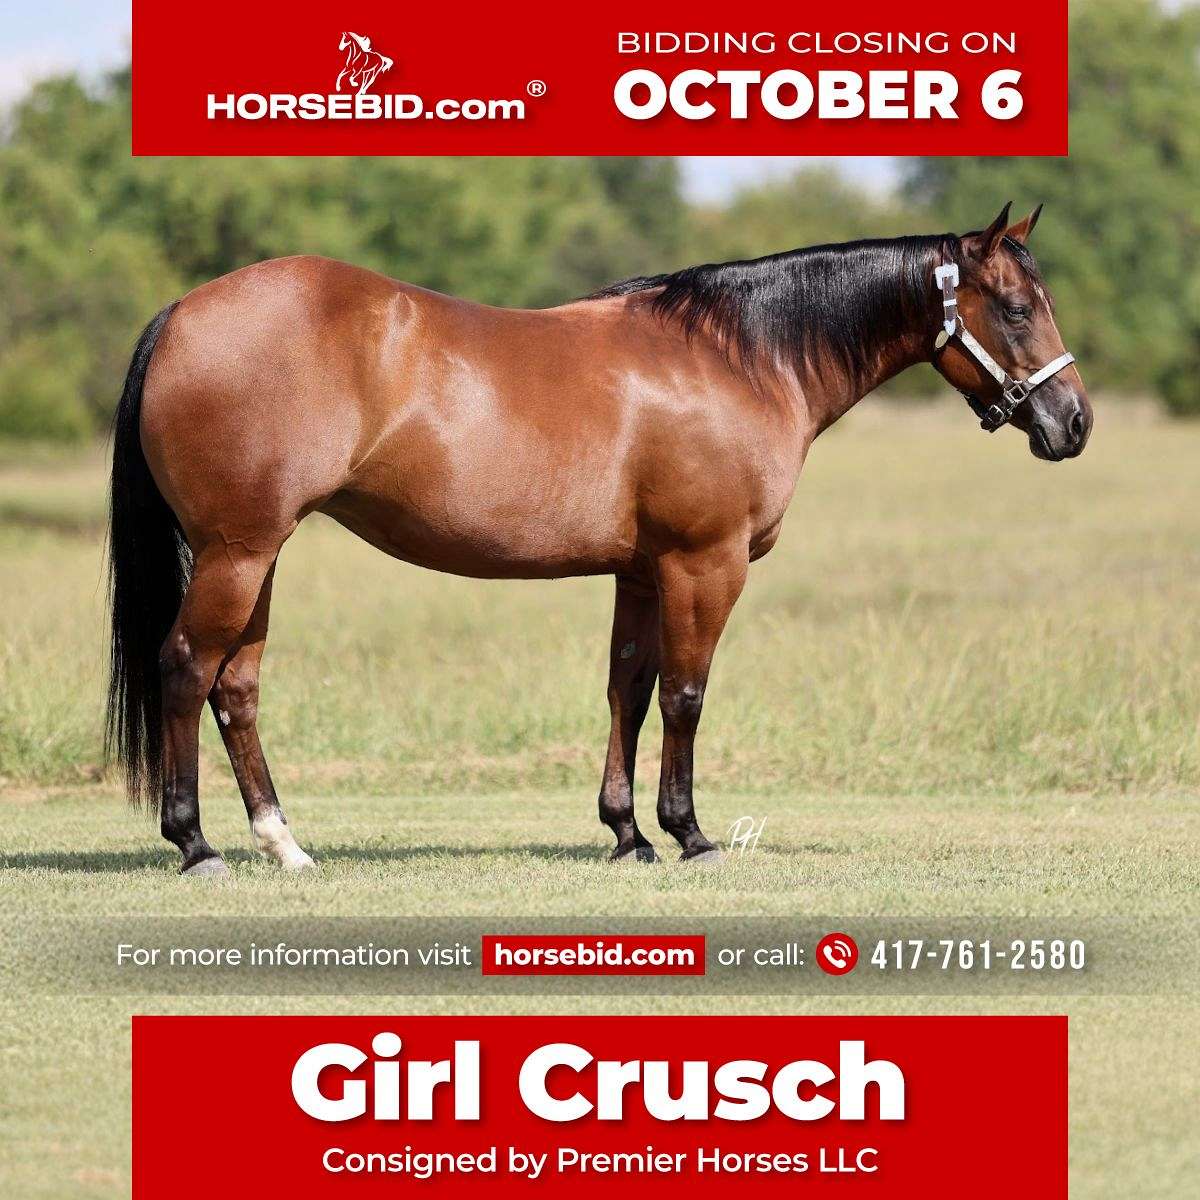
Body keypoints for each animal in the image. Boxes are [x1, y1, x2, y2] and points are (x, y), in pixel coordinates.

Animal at [106, 203, 1091, 876]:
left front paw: (627, 833)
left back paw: (285, 844)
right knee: (187, 667)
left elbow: (629, 689)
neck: (738, 358)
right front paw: (690, 833)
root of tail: (183, 311)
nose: (1073, 423)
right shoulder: (704, 564)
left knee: (237, 687)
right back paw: (196, 845)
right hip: (236, 551)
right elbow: (687, 695)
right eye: (1014, 308)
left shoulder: (643, 572)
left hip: (259, 555)